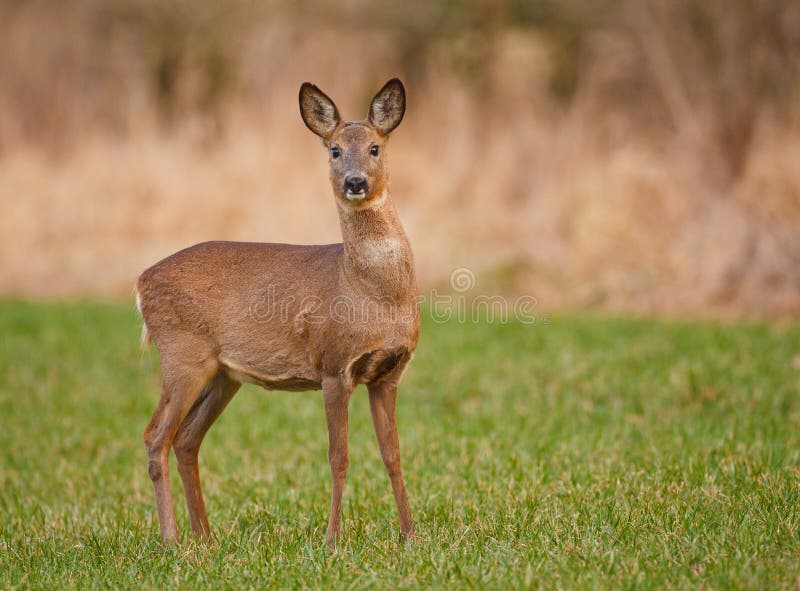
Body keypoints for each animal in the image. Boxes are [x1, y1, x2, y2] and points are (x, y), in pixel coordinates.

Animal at [135, 79, 418, 547]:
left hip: (223, 373)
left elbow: (393, 454)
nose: (355, 181)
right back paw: (173, 541)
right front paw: (332, 539)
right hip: (182, 353)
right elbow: (338, 455)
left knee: (186, 439)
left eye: (375, 147)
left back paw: (206, 539)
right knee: (155, 436)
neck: (371, 293)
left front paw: (410, 535)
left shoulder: (389, 372)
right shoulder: (333, 364)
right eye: (334, 150)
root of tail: (141, 283)